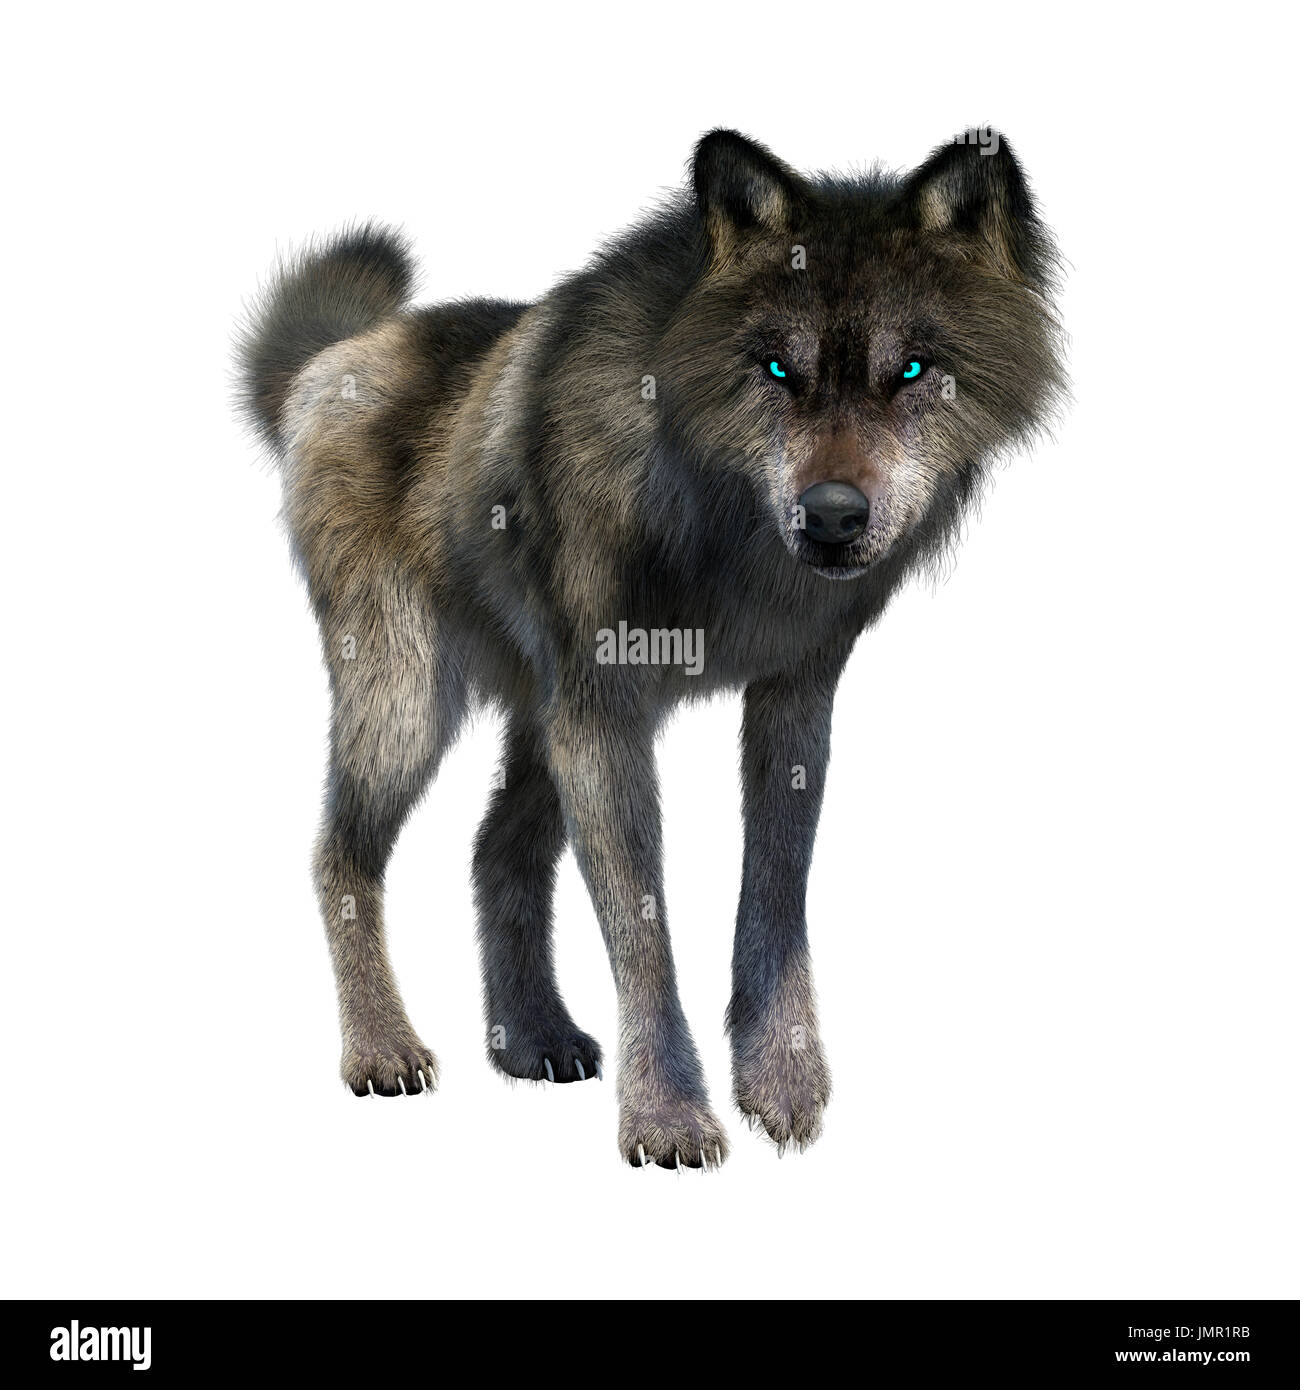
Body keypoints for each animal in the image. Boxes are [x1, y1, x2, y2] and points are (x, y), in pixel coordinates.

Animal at [238, 128, 1064, 1170]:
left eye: (912, 370)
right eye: (776, 369)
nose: (833, 515)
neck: (723, 529)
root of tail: (336, 357)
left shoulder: (794, 696)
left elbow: (776, 892)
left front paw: (781, 1084)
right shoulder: (604, 713)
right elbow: (642, 927)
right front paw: (669, 1117)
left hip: (535, 722)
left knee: (494, 849)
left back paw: (532, 1039)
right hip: (413, 703)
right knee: (338, 856)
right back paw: (382, 1048)